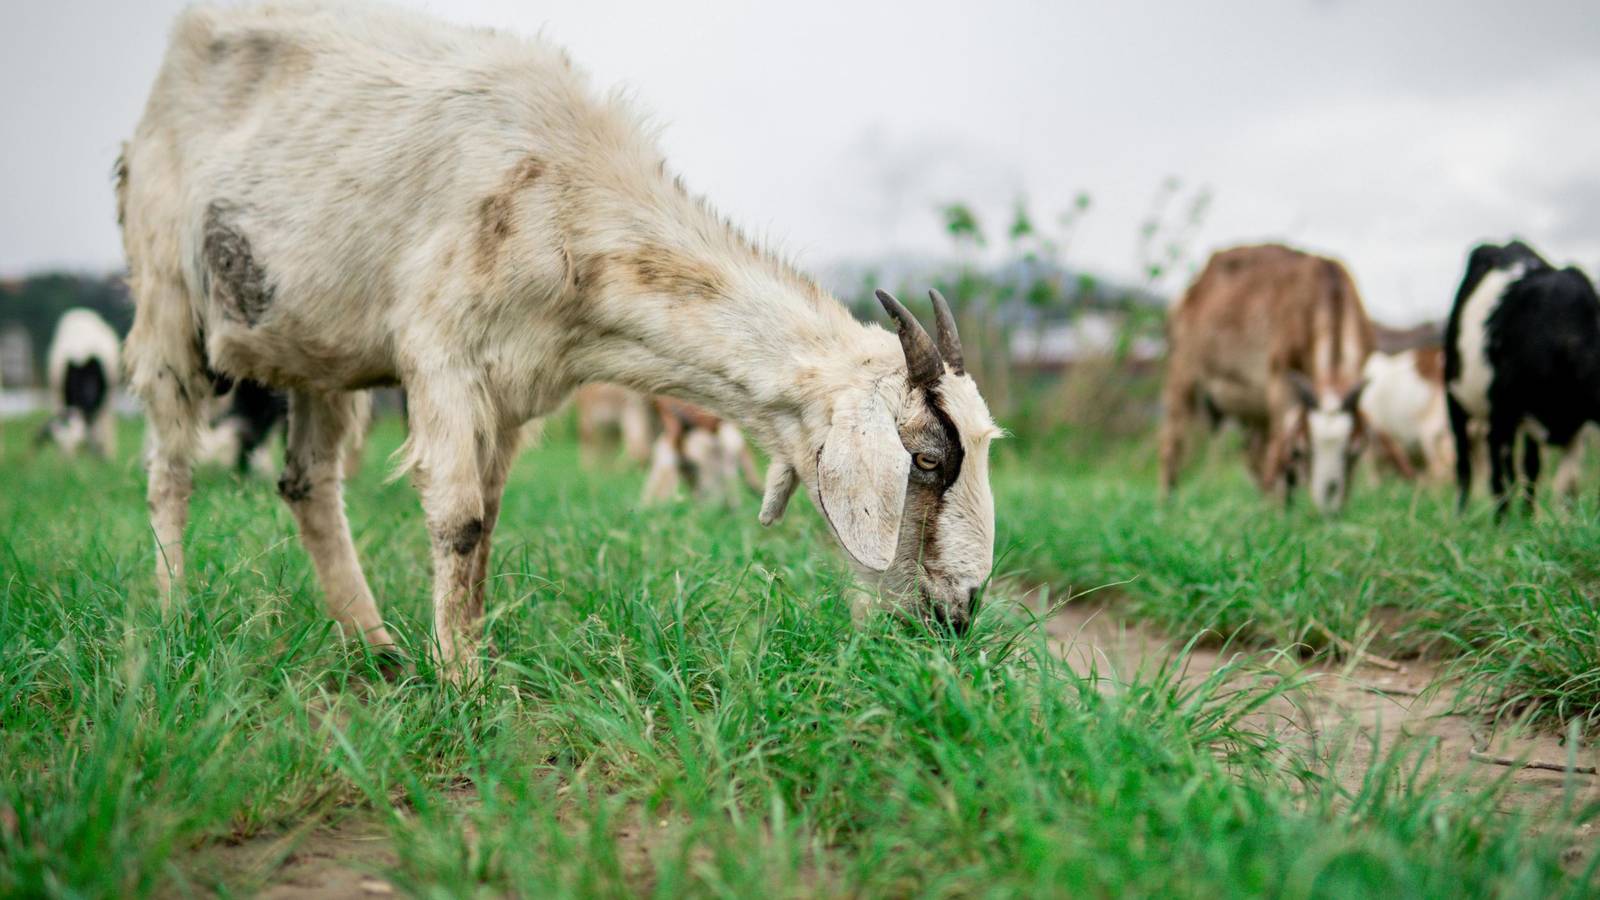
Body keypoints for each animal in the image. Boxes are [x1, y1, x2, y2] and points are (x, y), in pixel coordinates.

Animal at [120, 2, 999, 676]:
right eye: (927, 461)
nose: (960, 613)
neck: (568, 201)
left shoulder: (514, 388)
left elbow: (489, 522)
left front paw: (468, 652)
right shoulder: (441, 356)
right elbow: (459, 519)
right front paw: (463, 683)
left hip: (317, 354)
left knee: (308, 484)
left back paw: (374, 646)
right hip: (166, 291)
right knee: (170, 469)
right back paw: (172, 612)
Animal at [1161, 244, 1375, 513]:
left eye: (1355, 451)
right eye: (1300, 450)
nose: (1328, 505)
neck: (1327, 291)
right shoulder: (1281, 380)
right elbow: (1279, 447)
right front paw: (1282, 510)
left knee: (1252, 452)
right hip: (1183, 369)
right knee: (1174, 440)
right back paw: (1166, 501)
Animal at [1444, 240, 1600, 517]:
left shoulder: (1576, 428)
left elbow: (1566, 485)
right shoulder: (1499, 415)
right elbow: (1498, 480)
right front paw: (1501, 524)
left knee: (1528, 467)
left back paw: (1527, 515)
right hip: (1456, 399)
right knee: (1465, 465)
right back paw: (1461, 515)